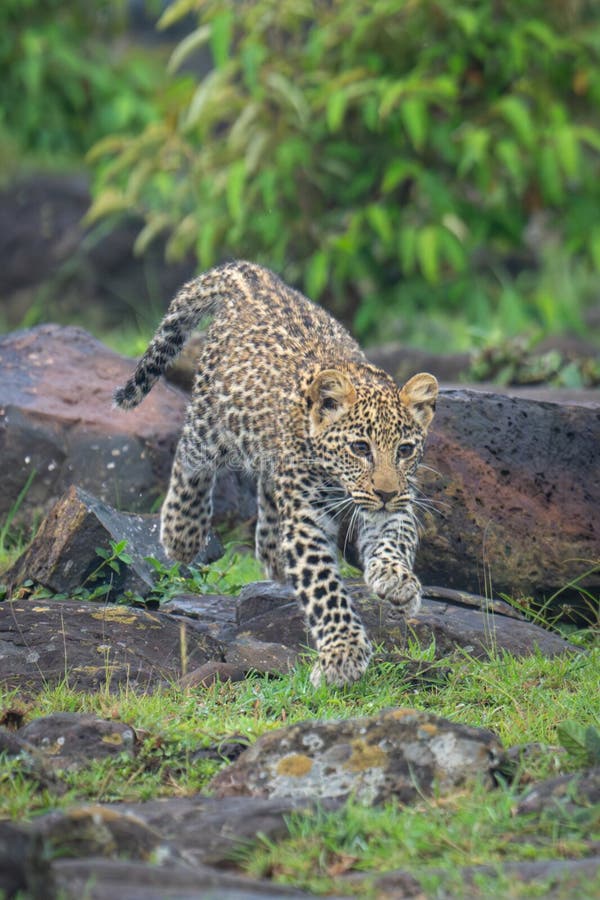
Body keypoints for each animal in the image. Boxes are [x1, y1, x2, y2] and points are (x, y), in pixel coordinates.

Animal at [114, 261, 438, 687]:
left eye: (404, 450)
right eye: (359, 448)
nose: (384, 492)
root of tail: (252, 275)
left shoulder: (396, 503)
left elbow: (393, 539)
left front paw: (396, 581)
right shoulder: (307, 520)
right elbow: (325, 589)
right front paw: (343, 655)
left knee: (267, 488)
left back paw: (272, 552)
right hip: (214, 424)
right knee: (190, 457)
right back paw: (182, 534)